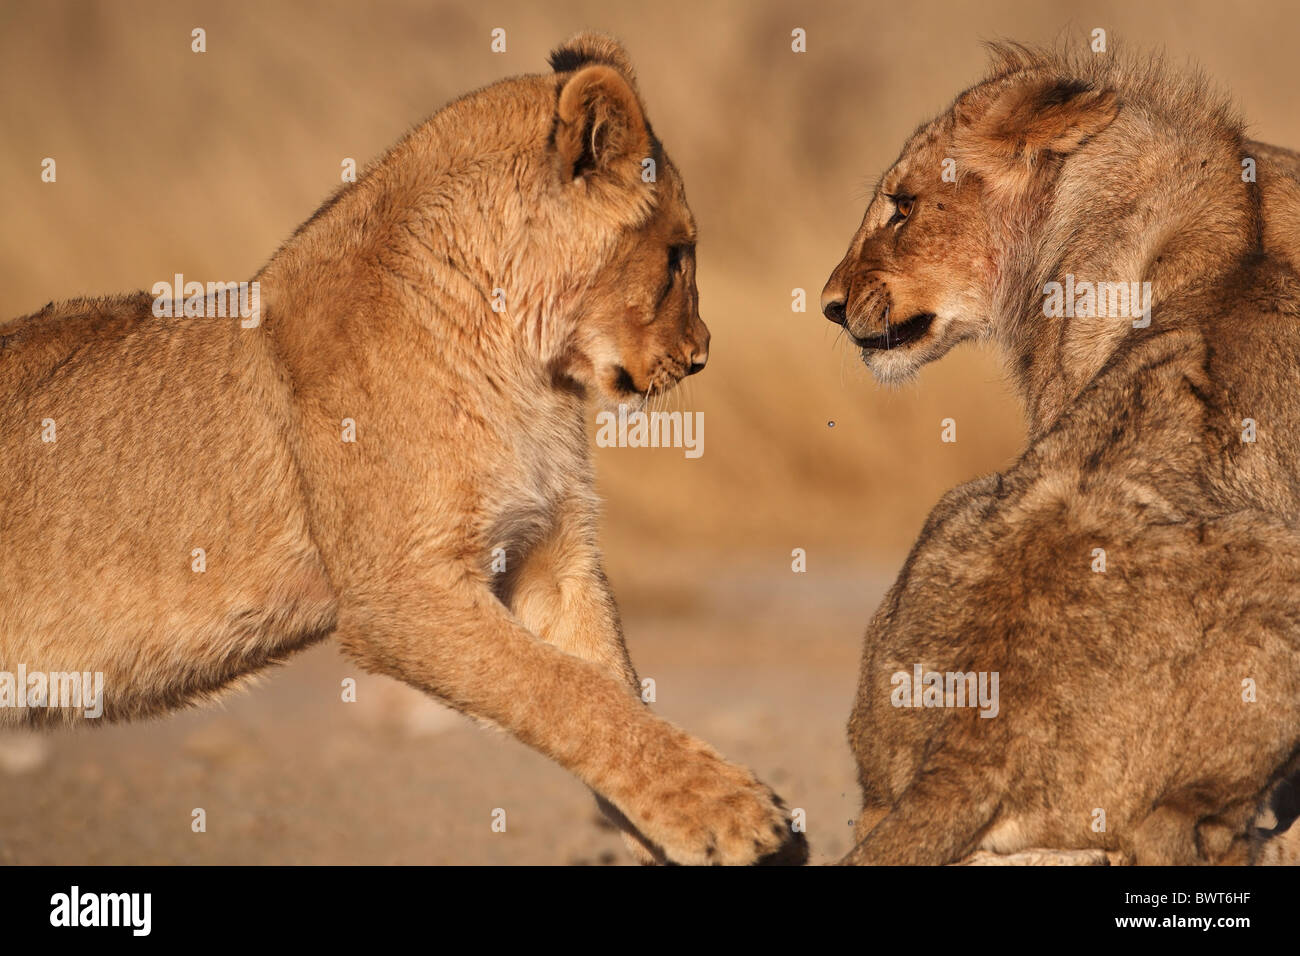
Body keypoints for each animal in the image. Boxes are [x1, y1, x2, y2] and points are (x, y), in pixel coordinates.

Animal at [0, 33, 806, 866]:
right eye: (678, 254)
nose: (701, 355)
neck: (523, 359)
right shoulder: (398, 591)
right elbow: (565, 691)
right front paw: (736, 813)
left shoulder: (549, 550)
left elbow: (613, 690)